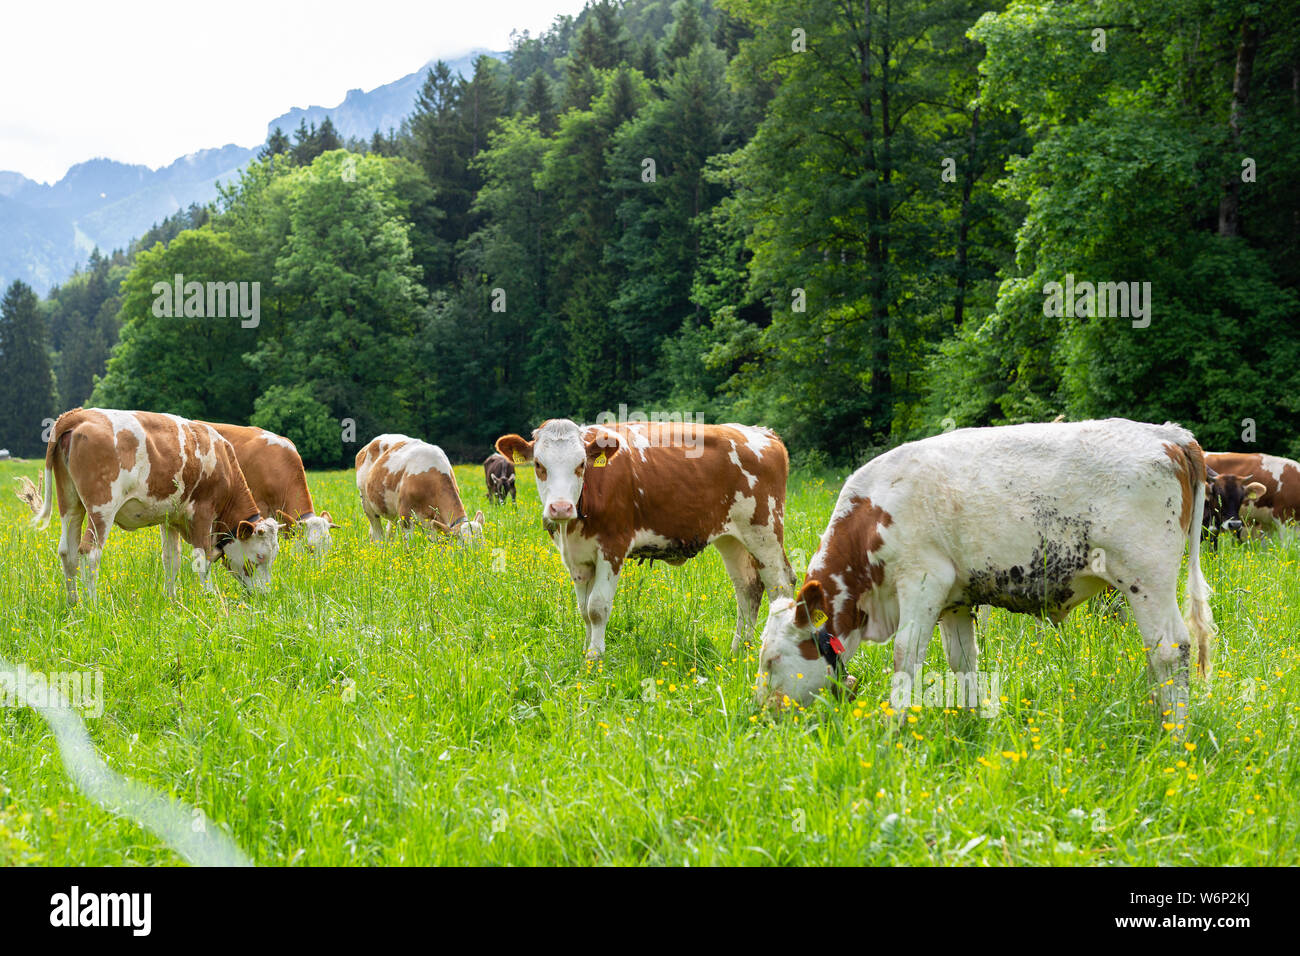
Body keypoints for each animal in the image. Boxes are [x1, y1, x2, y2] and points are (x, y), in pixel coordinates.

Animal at [27, 408, 281, 604]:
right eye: (260, 556)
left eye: (273, 557)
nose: (265, 595)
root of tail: (79, 414)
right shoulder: (203, 512)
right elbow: (203, 559)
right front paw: (207, 598)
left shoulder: (170, 519)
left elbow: (171, 559)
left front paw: (172, 600)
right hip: (102, 509)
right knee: (90, 552)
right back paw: (93, 606)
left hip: (70, 504)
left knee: (67, 552)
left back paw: (74, 604)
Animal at [355, 435, 484, 543]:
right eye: (463, 546)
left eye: (483, 544)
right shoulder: (406, 517)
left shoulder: (432, 522)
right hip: (367, 503)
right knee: (377, 534)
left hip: (392, 511)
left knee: (389, 533)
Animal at [495, 419, 795, 658]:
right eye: (538, 464)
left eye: (581, 465)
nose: (560, 508)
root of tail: (762, 433)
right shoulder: (576, 558)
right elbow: (583, 610)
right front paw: (585, 651)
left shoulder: (612, 548)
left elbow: (597, 607)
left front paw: (595, 657)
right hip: (731, 538)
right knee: (747, 588)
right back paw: (738, 650)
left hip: (764, 532)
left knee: (780, 586)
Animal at [754, 419, 1216, 732]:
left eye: (772, 659)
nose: (762, 713)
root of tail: (1168, 434)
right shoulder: (954, 601)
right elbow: (963, 662)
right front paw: (970, 723)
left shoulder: (923, 582)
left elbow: (906, 655)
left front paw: (894, 727)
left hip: (1147, 577)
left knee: (1170, 649)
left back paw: (1174, 734)